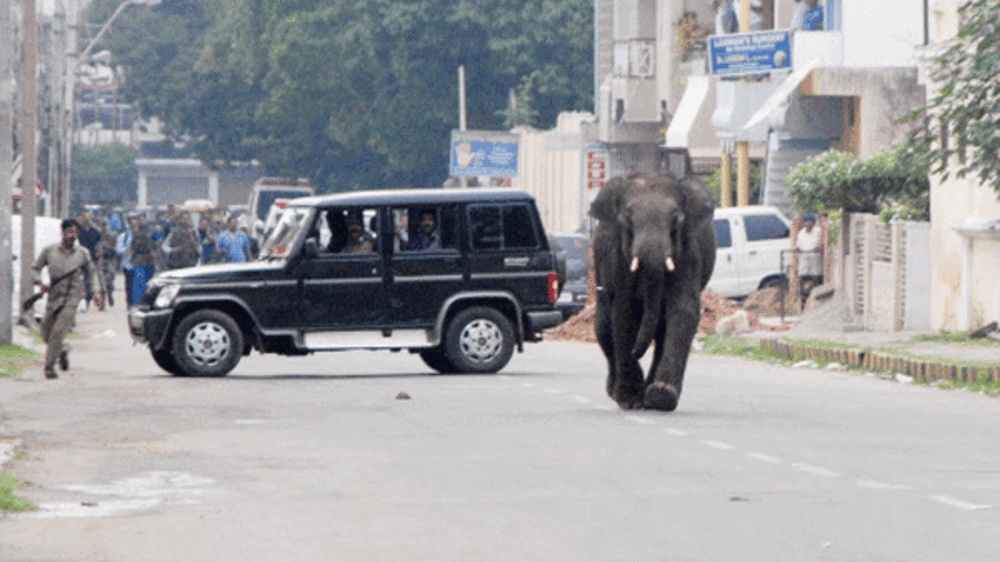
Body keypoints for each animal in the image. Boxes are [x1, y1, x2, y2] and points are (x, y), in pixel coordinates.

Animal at [589, 173, 716, 411]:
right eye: (627, 222)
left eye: (676, 222)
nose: (637, 352)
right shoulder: (616, 257)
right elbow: (624, 311)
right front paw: (629, 400)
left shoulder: (689, 252)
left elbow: (684, 308)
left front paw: (661, 397)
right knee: (603, 325)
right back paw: (616, 391)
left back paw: (650, 394)